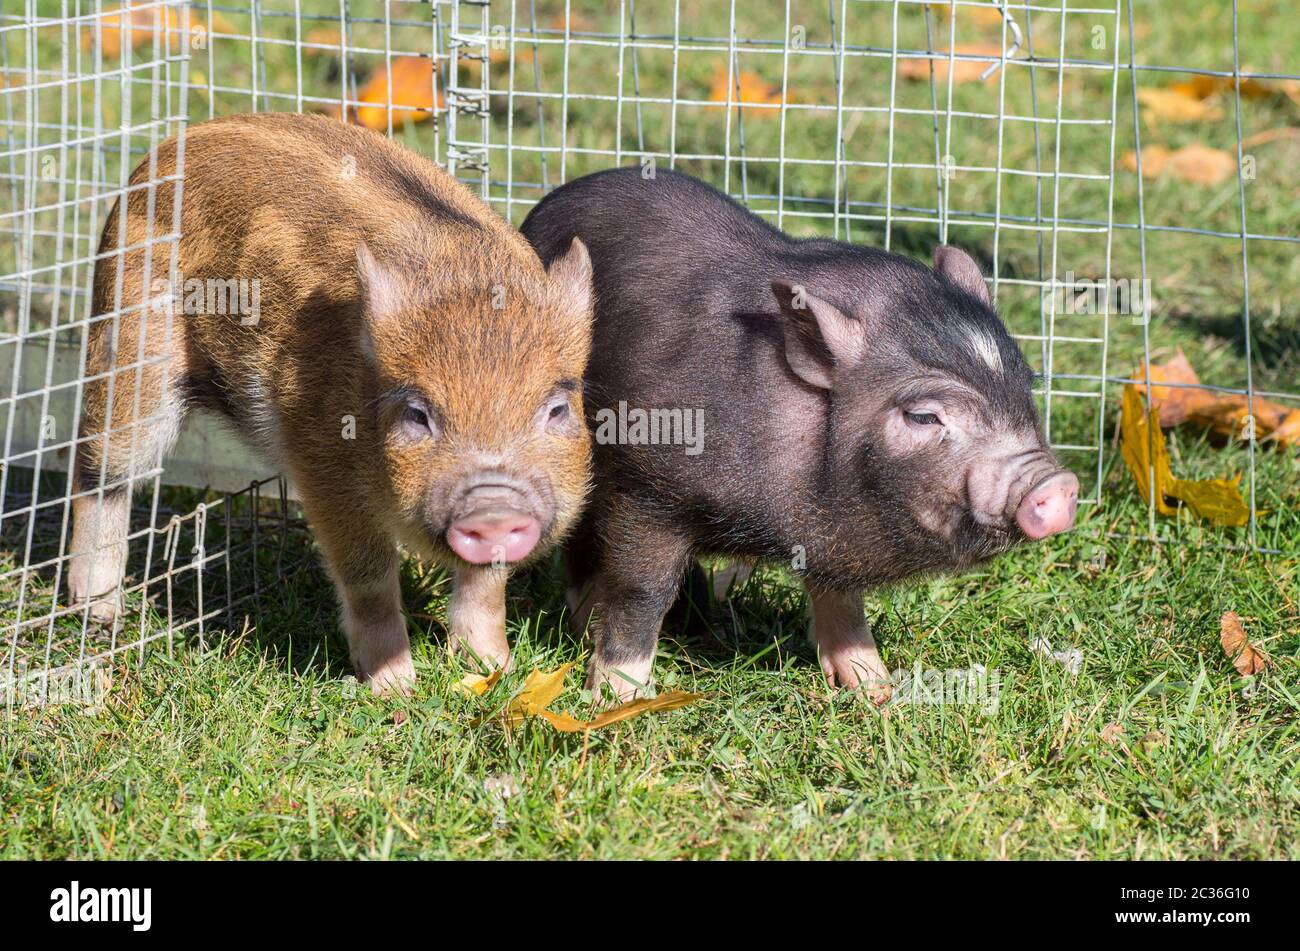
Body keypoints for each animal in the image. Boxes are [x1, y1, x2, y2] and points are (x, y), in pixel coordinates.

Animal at [67, 112, 594, 693]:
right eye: (417, 414)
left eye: (556, 410)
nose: (495, 505)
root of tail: (169, 147)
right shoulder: (320, 460)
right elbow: (367, 576)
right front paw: (394, 689)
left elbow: (486, 584)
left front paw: (490, 672)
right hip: (127, 345)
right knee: (99, 469)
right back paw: (99, 614)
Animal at [521, 167, 1078, 703]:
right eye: (923, 417)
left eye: (1026, 386)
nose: (1058, 484)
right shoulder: (647, 489)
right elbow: (640, 592)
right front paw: (617, 700)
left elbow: (841, 595)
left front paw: (875, 690)